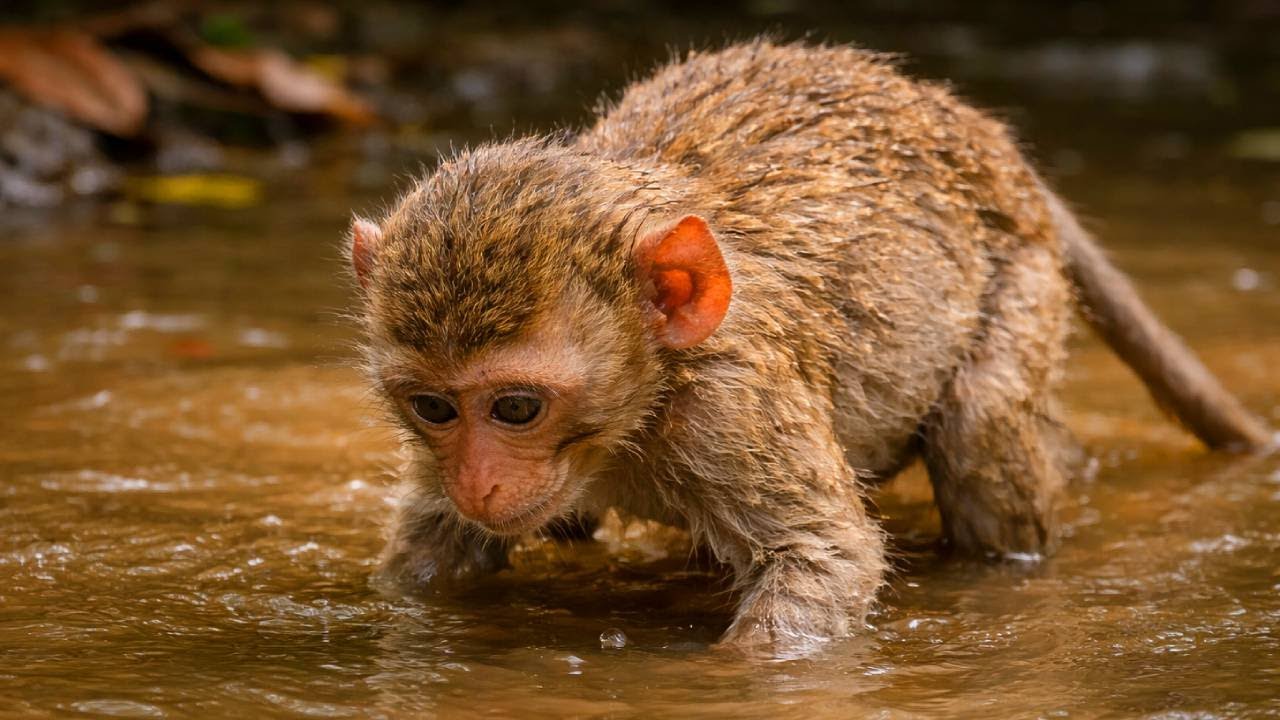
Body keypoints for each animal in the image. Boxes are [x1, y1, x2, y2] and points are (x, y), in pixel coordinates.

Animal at [345, 41, 1273, 652]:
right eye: (434, 408)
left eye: (516, 407)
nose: (478, 480)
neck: (649, 394)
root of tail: (989, 143)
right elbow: (433, 551)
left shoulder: (735, 406)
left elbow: (824, 556)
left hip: (1026, 275)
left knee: (979, 421)